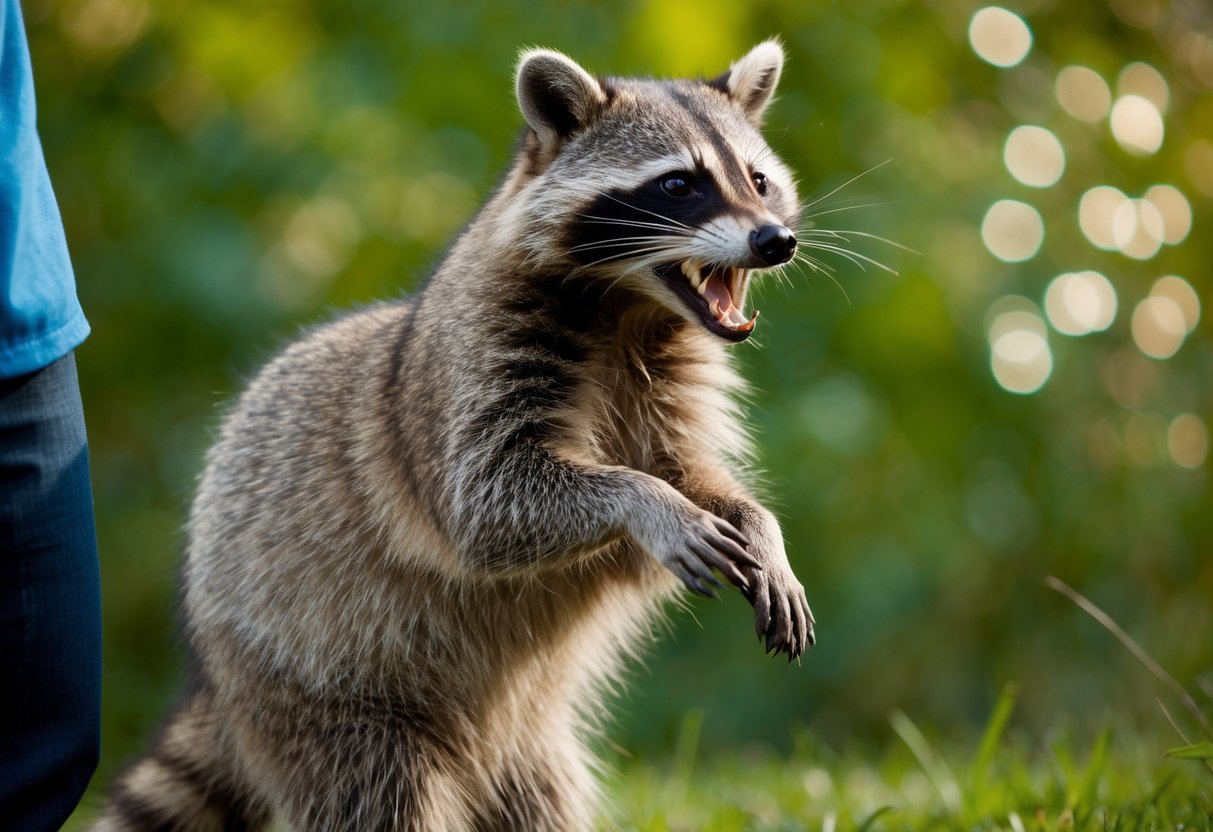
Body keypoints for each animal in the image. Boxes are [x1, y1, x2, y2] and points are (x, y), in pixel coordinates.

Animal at [93, 40, 813, 831]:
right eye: (679, 184)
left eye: (758, 181)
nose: (775, 241)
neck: (630, 310)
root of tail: (219, 687)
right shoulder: (472, 364)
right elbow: (487, 504)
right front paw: (646, 502)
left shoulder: (670, 391)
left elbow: (690, 474)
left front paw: (757, 524)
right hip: (320, 691)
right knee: (378, 794)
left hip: (522, 746)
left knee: (542, 799)